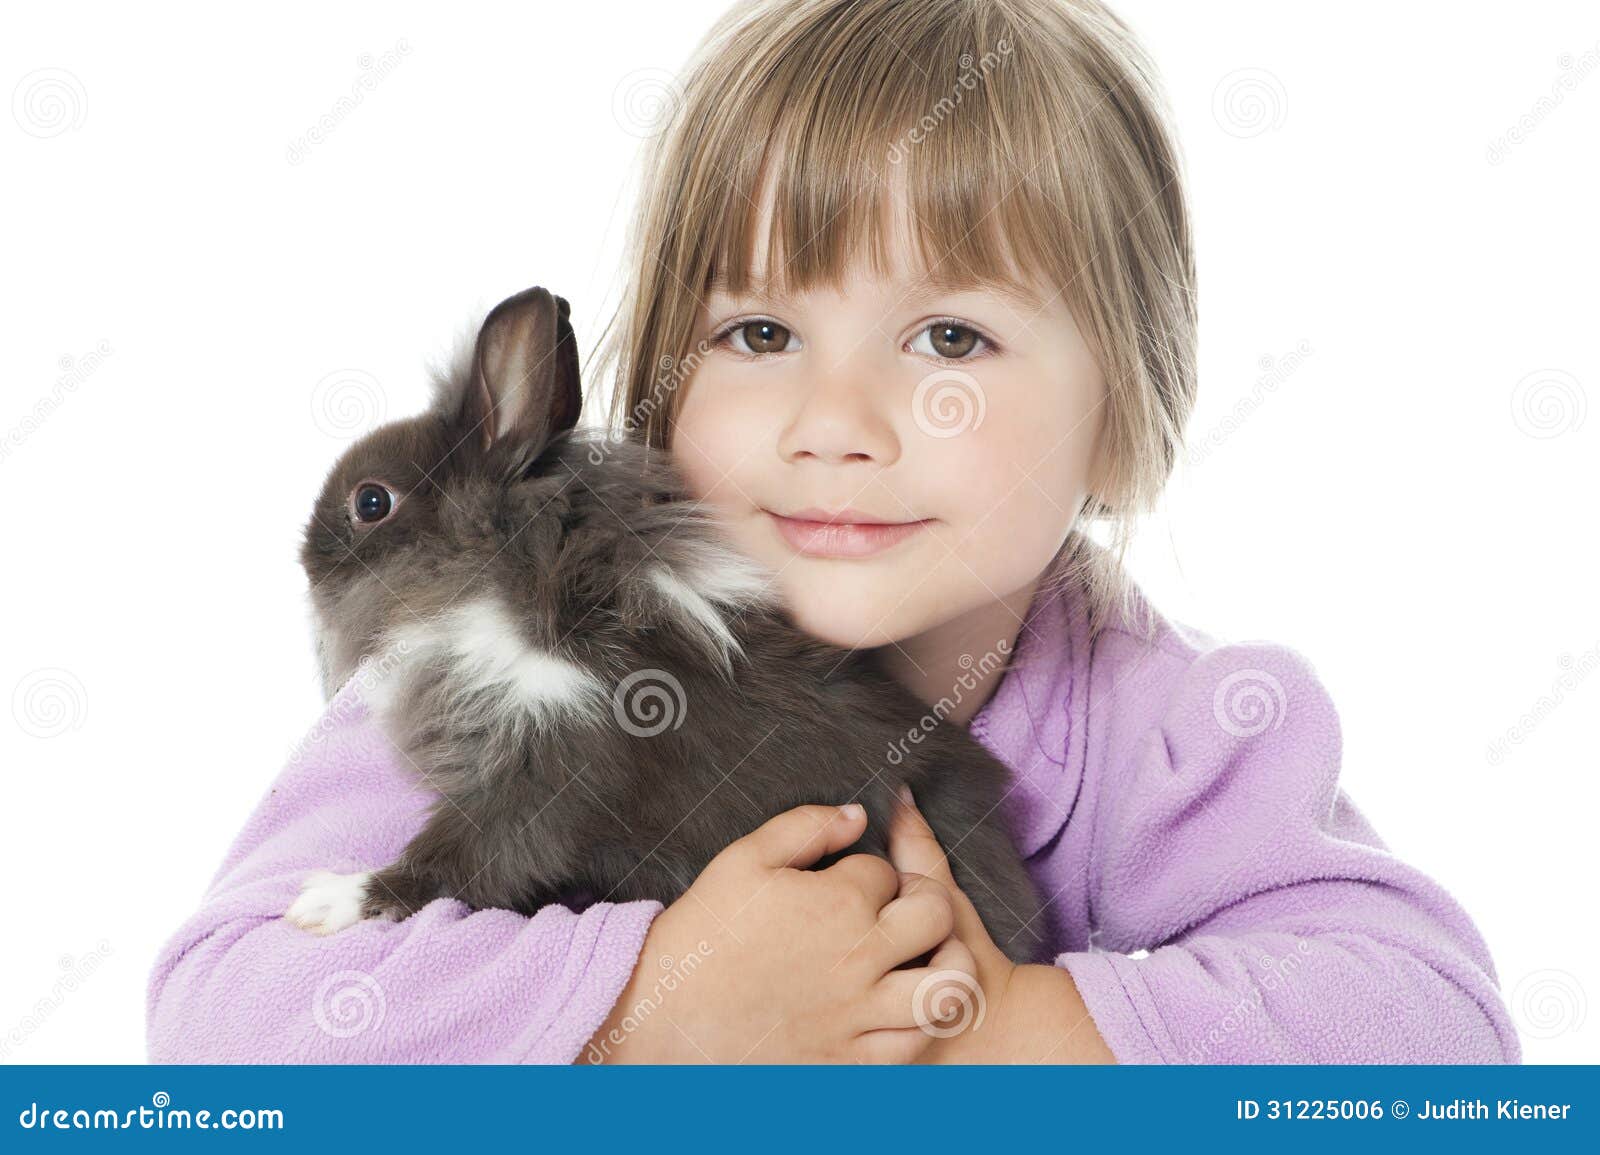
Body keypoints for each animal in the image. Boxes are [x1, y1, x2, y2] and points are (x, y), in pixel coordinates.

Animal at [286, 285, 1050, 964]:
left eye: (372, 502)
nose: (305, 563)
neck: (500, 589)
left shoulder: (548, 772)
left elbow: (461, 860)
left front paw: (326, 900)